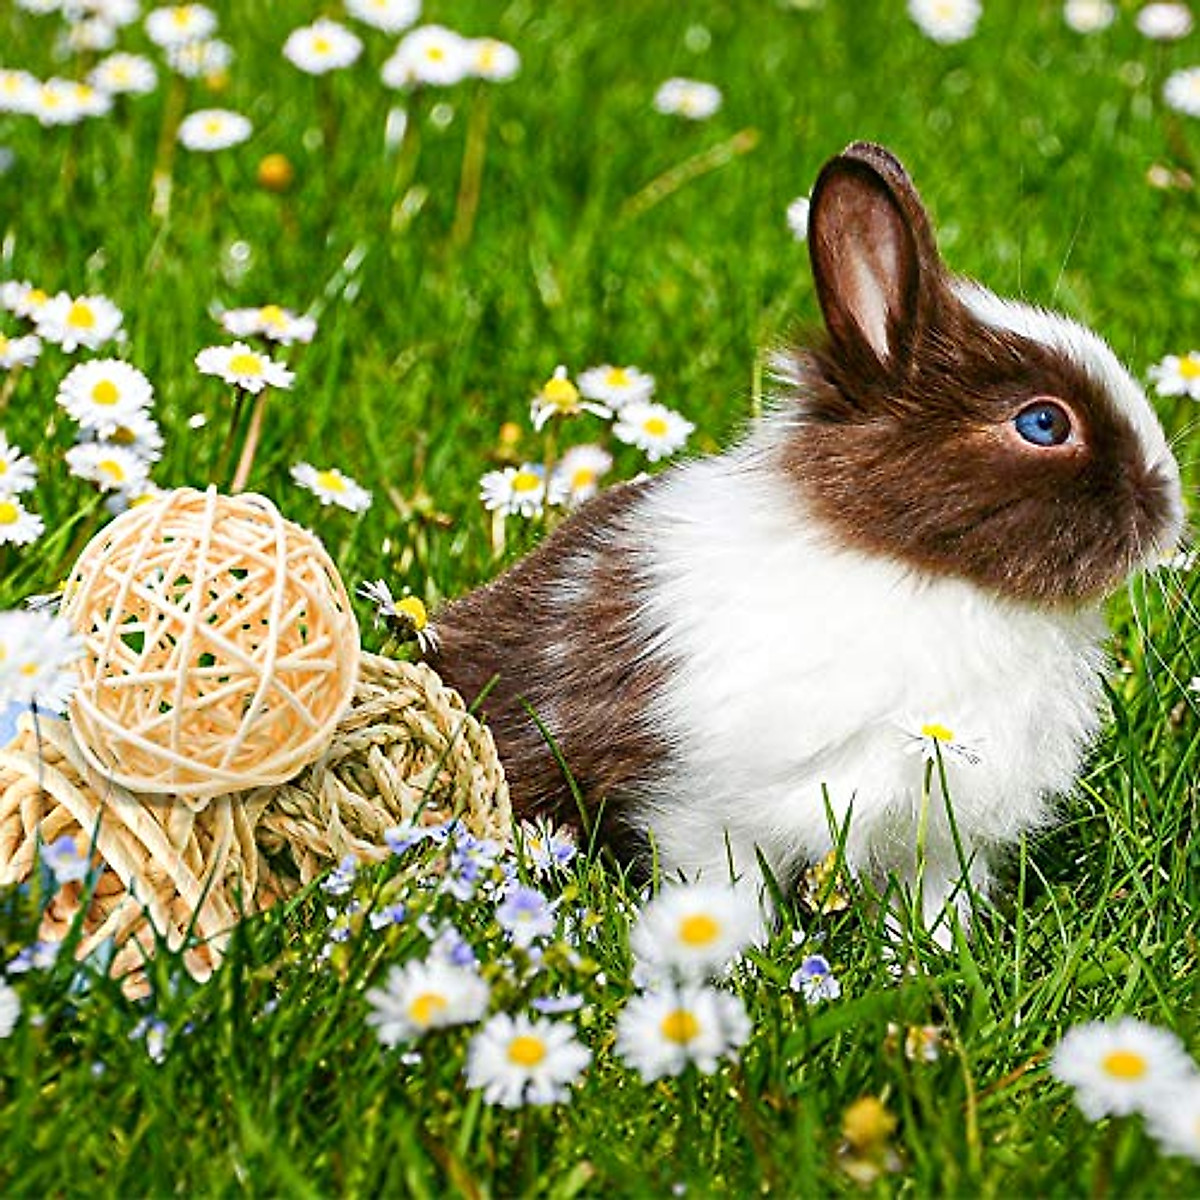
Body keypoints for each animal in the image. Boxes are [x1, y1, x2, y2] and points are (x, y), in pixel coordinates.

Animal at [426, 141, 1185, 936]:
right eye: (1043, 423)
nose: (1169, 506)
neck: (917, 567)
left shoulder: (943, 838)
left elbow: (934, 900)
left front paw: (930, 950)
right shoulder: (704, 807)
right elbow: (721, 885)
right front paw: (726, 950)